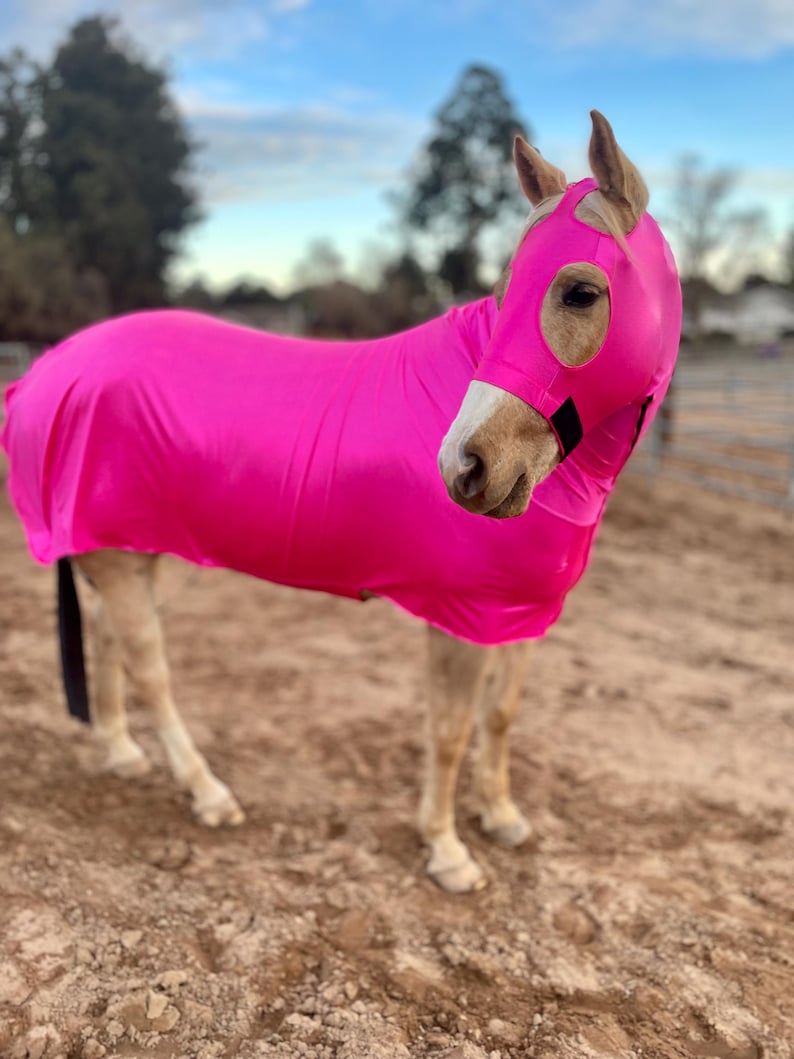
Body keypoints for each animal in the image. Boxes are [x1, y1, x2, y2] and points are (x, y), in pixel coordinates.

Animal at [1, 111, 681, 894]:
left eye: (579, 292)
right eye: (507, 293)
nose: (464, 466)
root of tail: (45, 370)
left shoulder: (518, 618)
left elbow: (500, 717)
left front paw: (502, 816)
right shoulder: (461, 619)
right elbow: (449, 731)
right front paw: (447, 852)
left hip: (127, 551)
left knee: (110, 643)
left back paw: (120, 752)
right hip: (117, 559)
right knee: (151, 669)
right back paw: (209, 793)